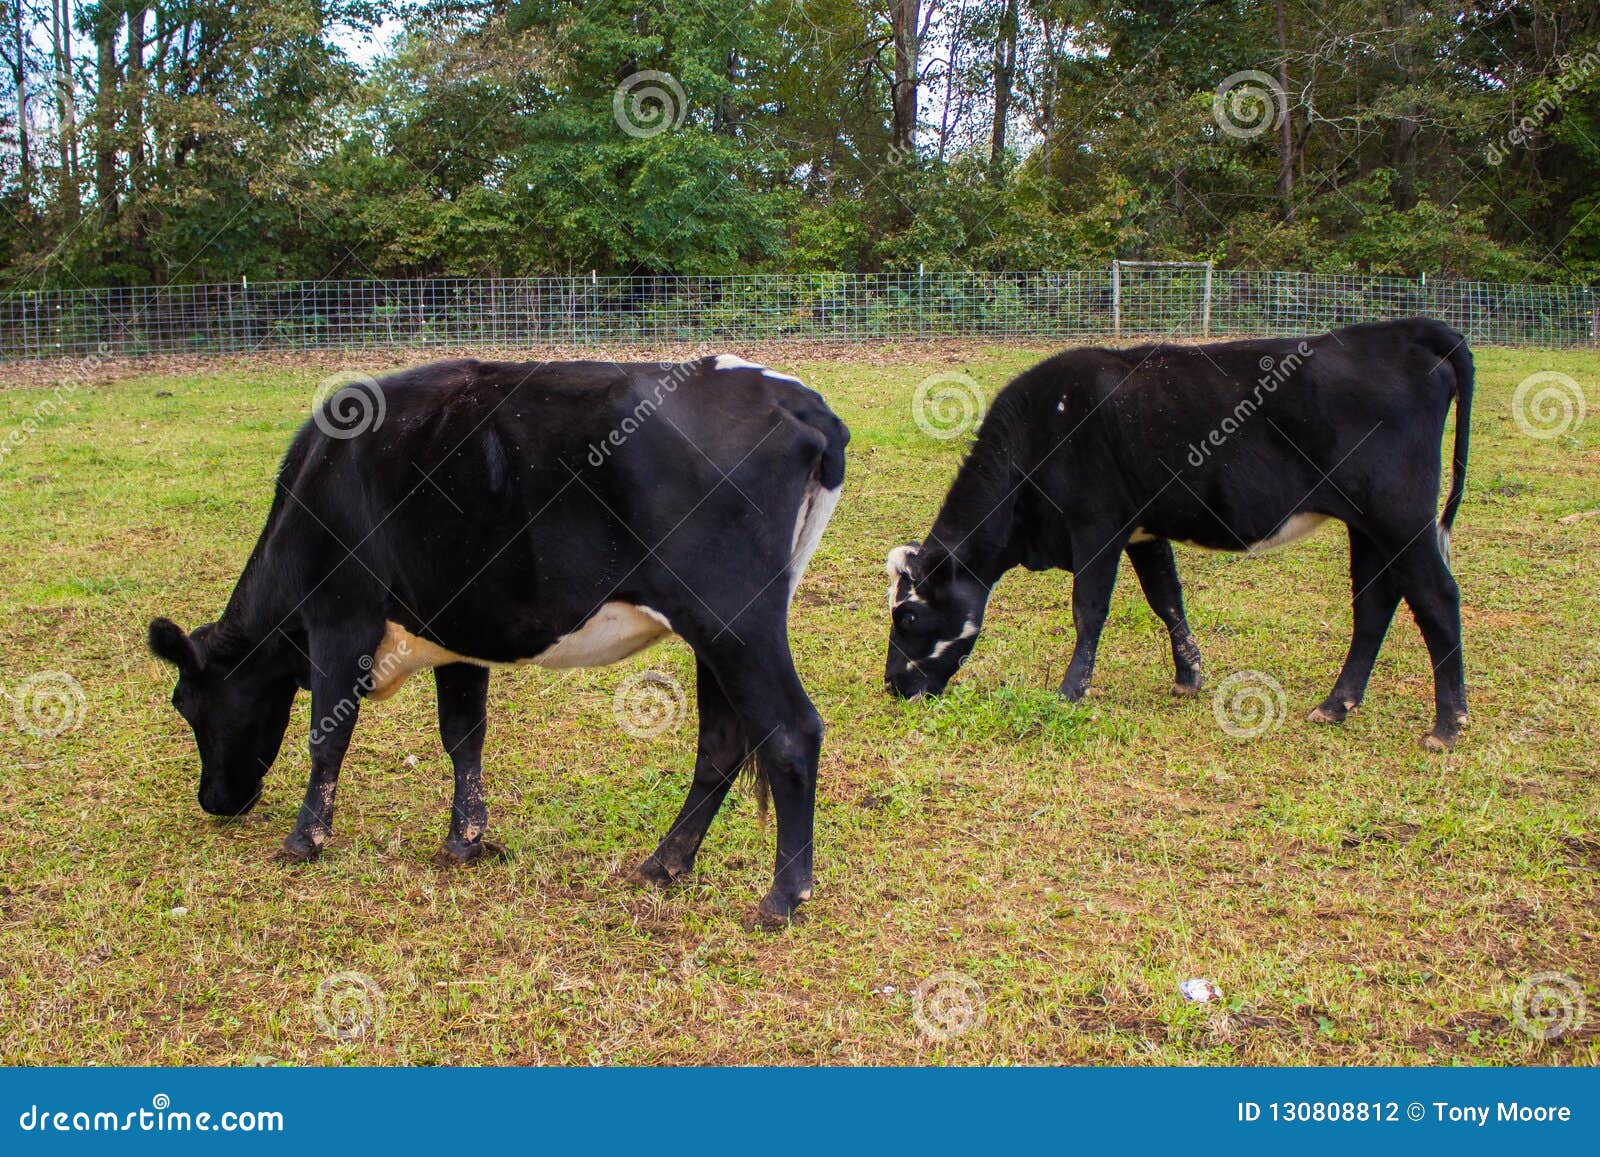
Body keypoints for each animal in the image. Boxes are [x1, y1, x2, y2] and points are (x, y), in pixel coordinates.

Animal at [148, 354, 848, 925]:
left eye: (185, 703)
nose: (214, 801)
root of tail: (791, 396)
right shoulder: (456, 633)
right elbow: (463, 737)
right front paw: (465, 840)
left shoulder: (340, 618)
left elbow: (327, 735)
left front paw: (302, 841)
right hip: (715, 632)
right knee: (722, 742)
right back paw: (663, 864)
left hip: (735, 620)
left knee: (792, 731)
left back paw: (782, 898)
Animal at [884, 318, 1473, 752]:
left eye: (907, 616)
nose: (892, 685)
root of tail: (1401, 332)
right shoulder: (1145, 532)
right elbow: (1166, 598)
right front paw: (1188, 677)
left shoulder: (1097, 526)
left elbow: (1088, 609)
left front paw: (1070, 691)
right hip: (1370, 527)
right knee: (1374, 602)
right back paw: (1336, 705)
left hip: (1401, 517)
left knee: (1437, 597)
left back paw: (1447, 726)